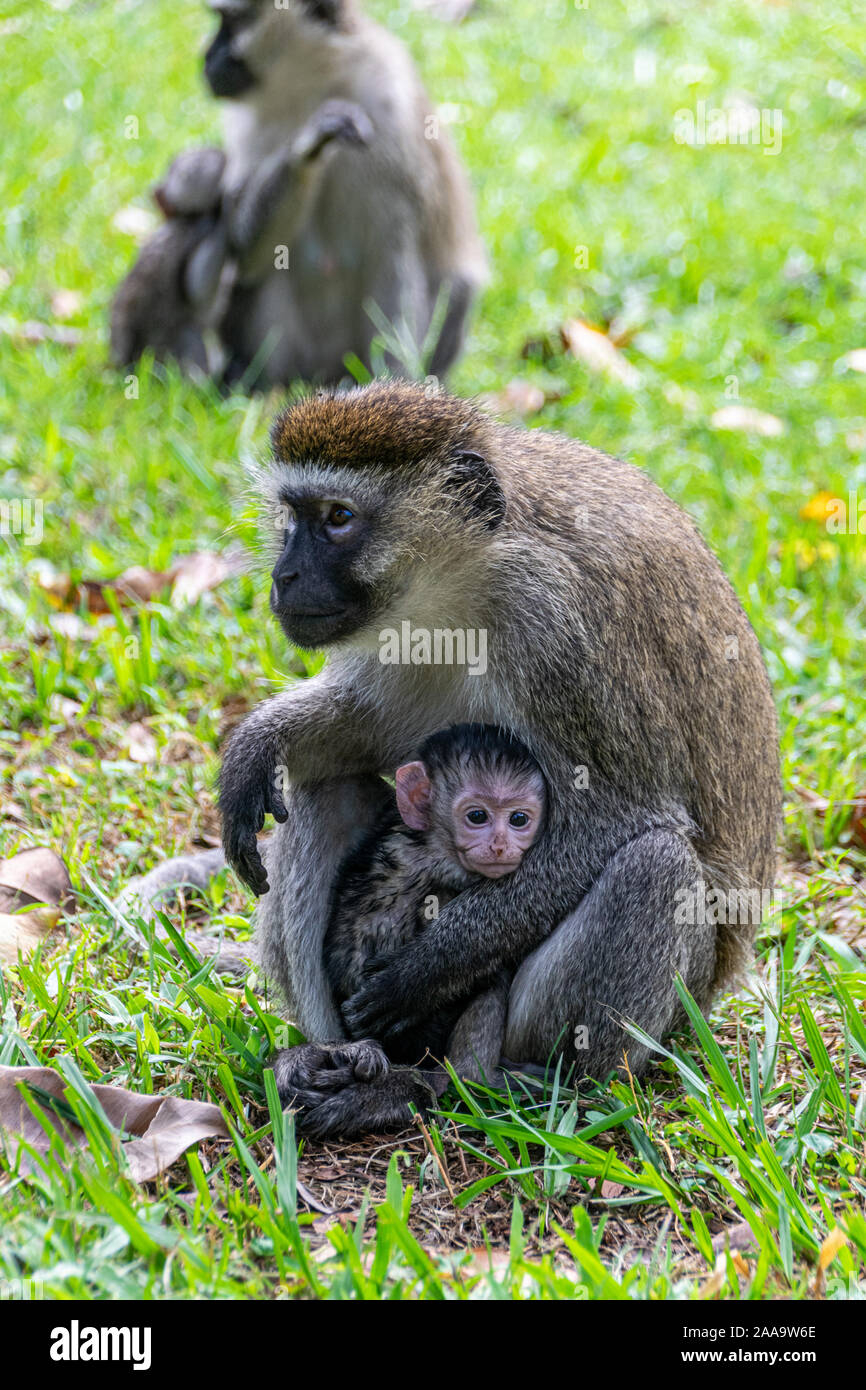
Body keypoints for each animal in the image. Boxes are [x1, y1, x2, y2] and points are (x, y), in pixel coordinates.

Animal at [202, 0, 486, 388]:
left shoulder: (391, 107)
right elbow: (244, 249)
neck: (316, 84)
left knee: (455, 284)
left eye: (229, 21)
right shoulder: (246, 125)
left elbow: (391, 257)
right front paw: (310, 145)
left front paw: (396, 383)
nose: (206, 56)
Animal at [215, 379, 780, 1140]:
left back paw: (512, 1088)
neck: (471, 568)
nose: (286, 574)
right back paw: (340, 1059)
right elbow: (368, 728)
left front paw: (431, 966)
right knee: (323, 787)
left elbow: (625, 816)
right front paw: (258, 743)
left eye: (338, 519)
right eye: (293, 515)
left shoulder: (551, 620)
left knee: (655, 863)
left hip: (674, 1011)